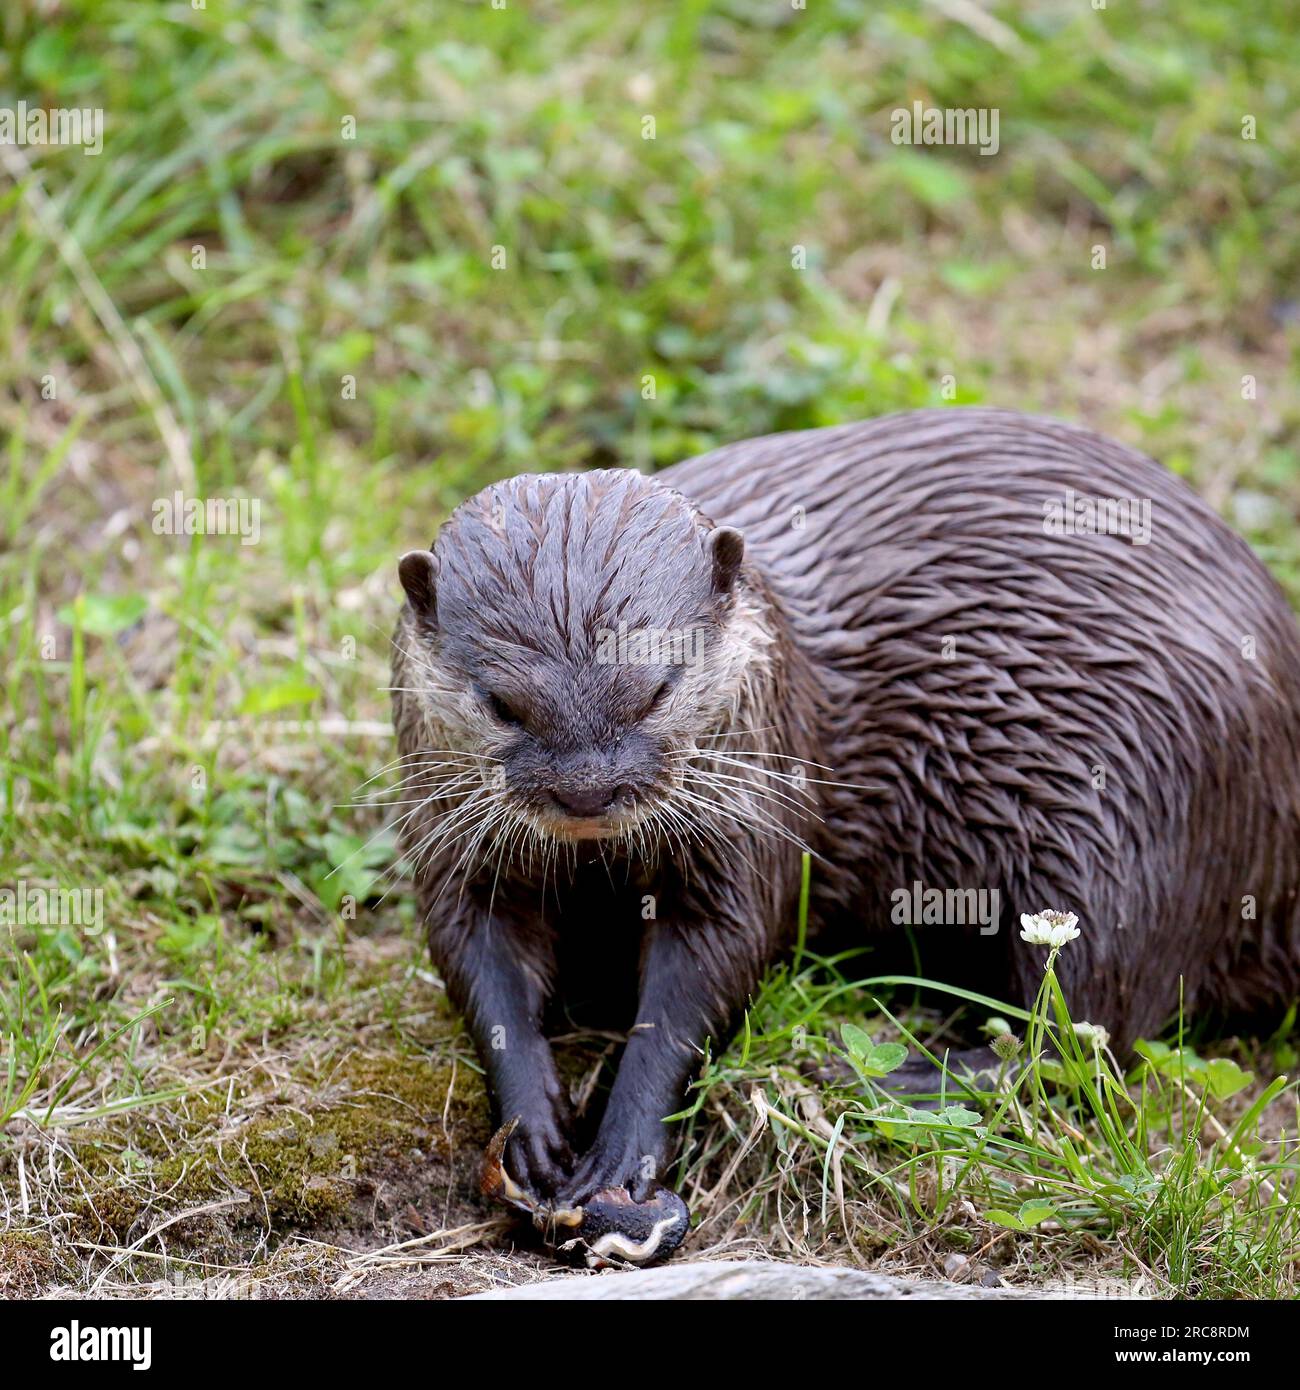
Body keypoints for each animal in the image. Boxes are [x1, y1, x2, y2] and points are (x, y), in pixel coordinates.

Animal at [390, 407, 1300, 1255]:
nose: (586, 790)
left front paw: (623, 1148)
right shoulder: (454, 849)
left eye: (659, 688)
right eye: (502, 704)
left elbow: (704, 980)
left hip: (1124, 823)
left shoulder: (748, 834)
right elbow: (483, 970)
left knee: (1087, 1035)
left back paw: (882, 1081)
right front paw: (532, 1132)